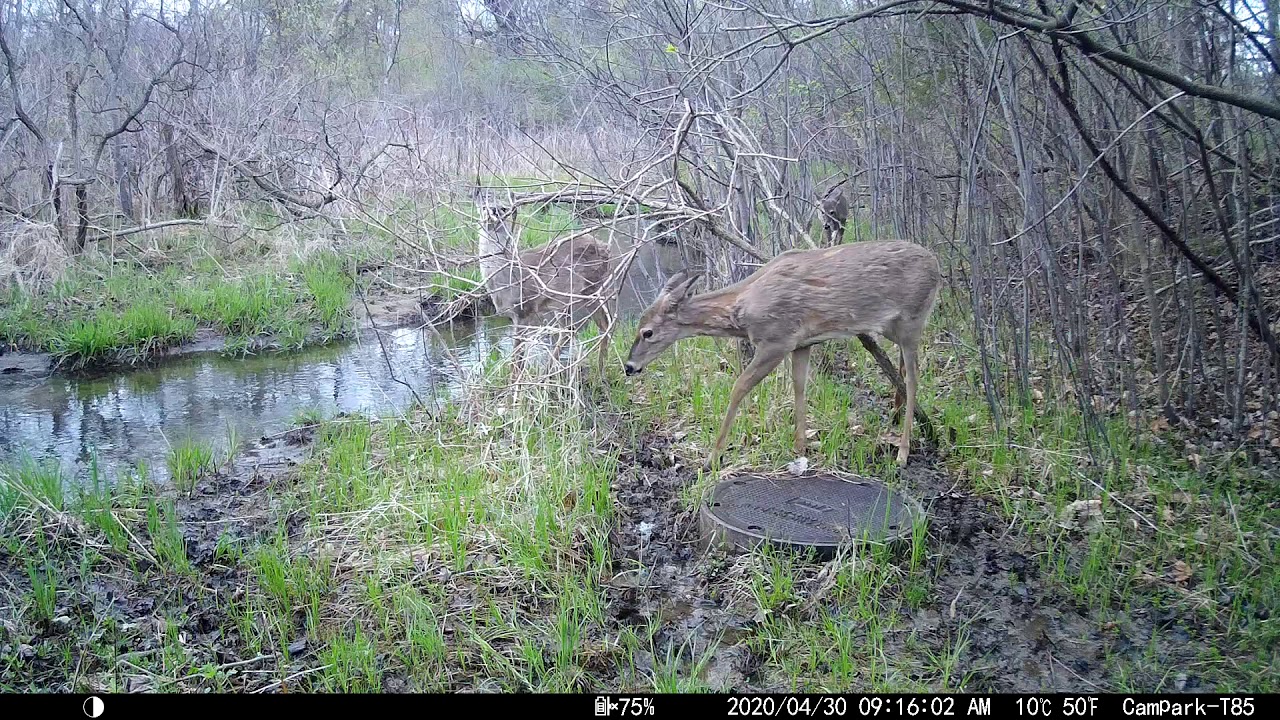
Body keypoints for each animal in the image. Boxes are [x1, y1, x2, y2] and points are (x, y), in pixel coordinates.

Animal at [473, 192, 618, 378]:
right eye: (484, 207)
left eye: (504, 208)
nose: (493, 211)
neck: (508, 279)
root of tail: (606, 248)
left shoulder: (524, 310)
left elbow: (517, 359)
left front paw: (515, 383)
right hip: (576, 295)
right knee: (588, 326)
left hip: (581, 290)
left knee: (582, 327)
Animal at [623, 240, 940, 470]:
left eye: (647, 332)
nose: (629, 366)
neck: (742, 309)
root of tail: (936, 263)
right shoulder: (800, 343)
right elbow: (799, 388)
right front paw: (800, 447)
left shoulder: (776, 340)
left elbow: (739, 388)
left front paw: (712, 458)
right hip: (893, 327)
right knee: (903, 369)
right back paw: (895, 415)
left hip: (912, 320)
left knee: (915, 379)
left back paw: (902, 452)